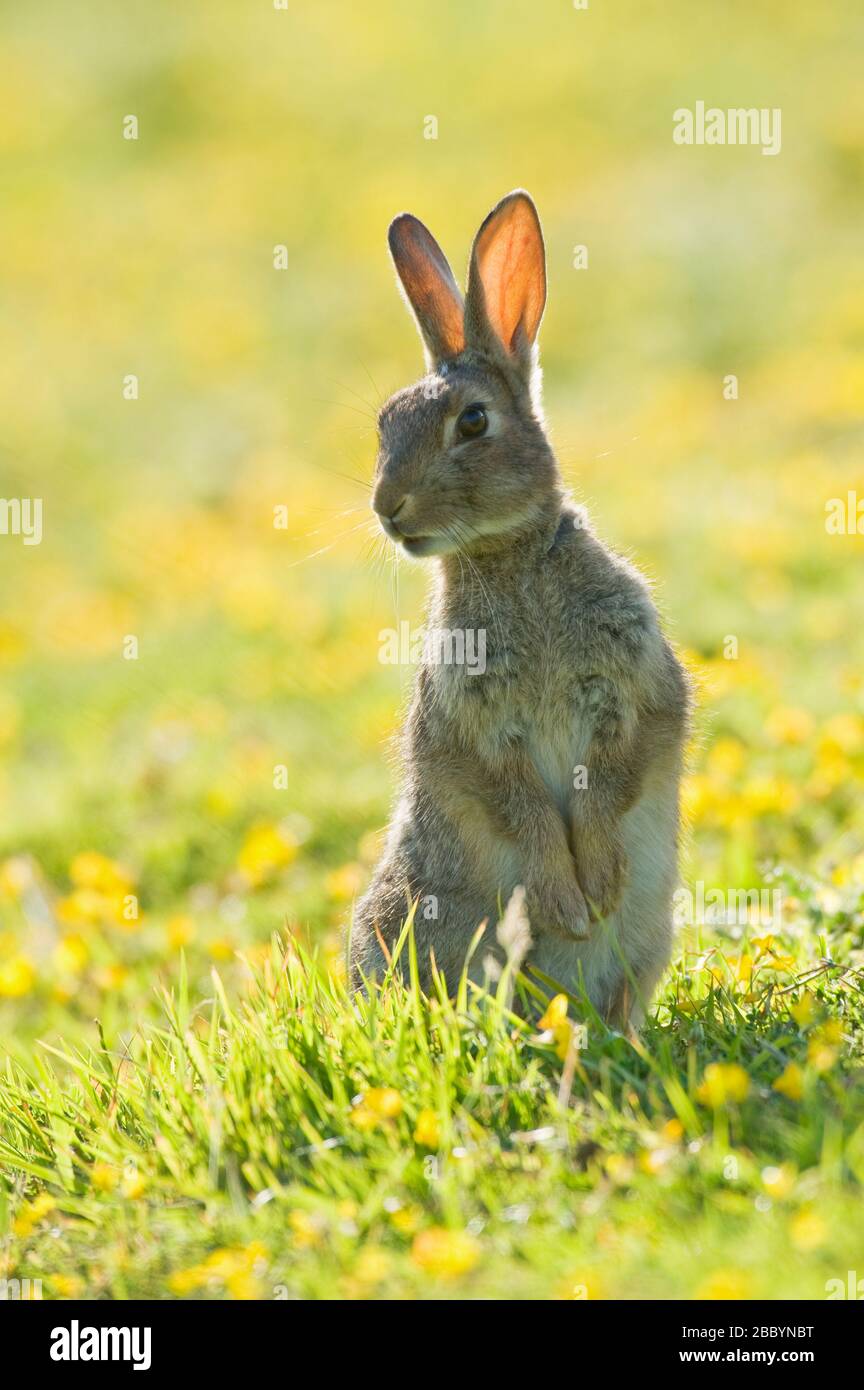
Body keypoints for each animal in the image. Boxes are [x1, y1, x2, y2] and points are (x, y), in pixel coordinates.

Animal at [348, 190, 691, 1028]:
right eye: (385, 426)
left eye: (473, 422)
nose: (387, 509)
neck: (507, 557)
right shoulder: (476, 730)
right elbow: (522, 809)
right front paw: (567, 903)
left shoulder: (631, 694)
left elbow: (608, 782)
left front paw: (596, 886)